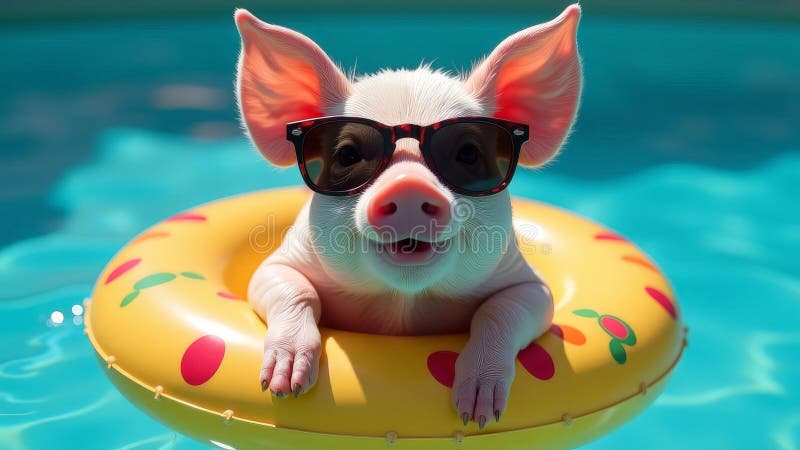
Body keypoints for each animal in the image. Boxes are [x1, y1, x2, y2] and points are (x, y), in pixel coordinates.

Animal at [236, 4, 581, 429]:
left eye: (468, 153)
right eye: (348, 154)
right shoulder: (281, 263)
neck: (402, 306)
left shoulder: (530, 285)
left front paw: (477, 415)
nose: (408, 185)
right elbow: (293, 289)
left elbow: (502, 309)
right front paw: (284, 387)